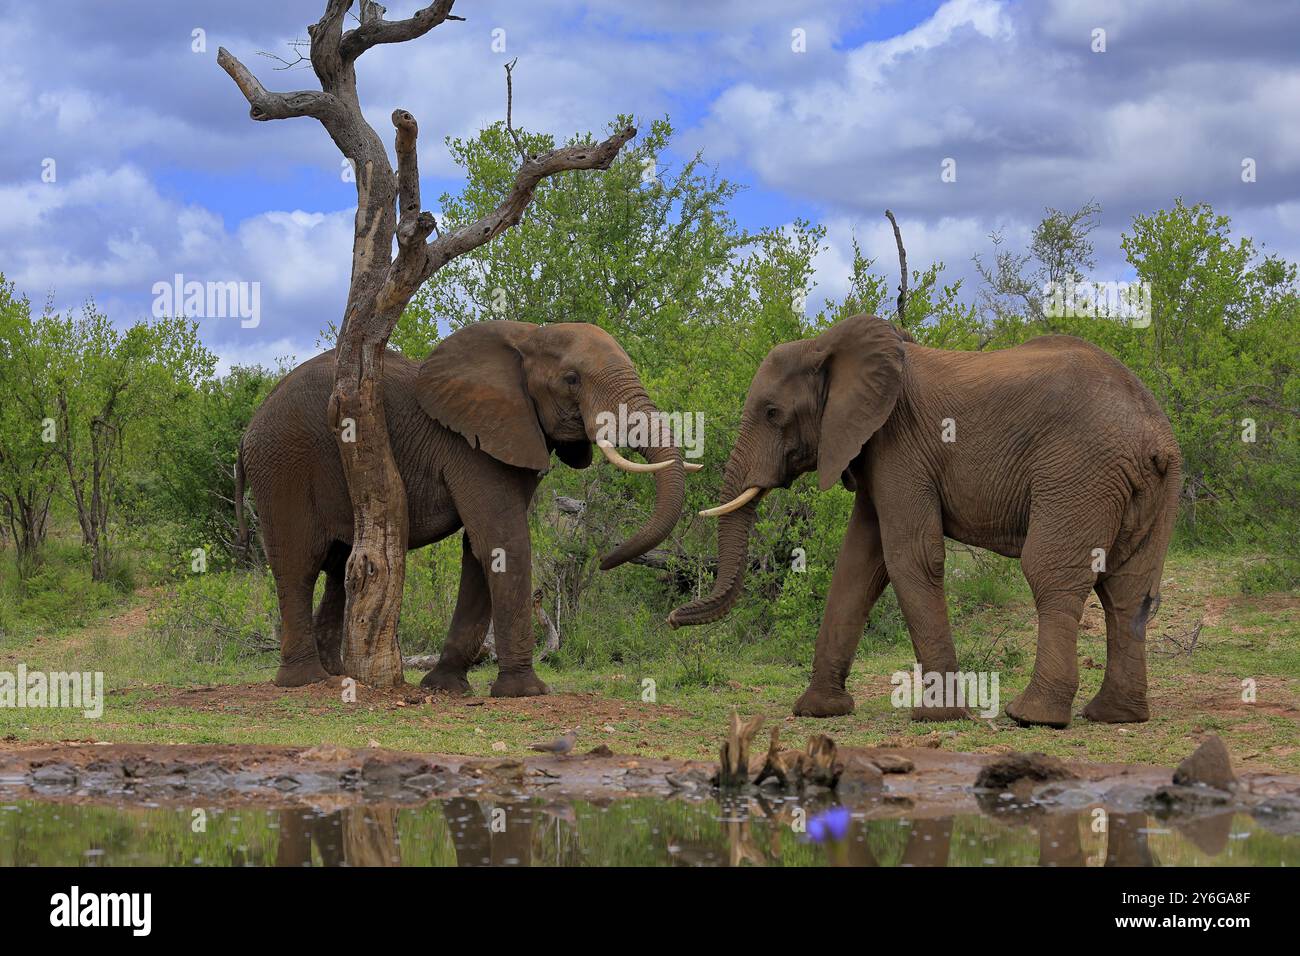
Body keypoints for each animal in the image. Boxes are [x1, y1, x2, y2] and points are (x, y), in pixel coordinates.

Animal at [237, 320, 692, 693]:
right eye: (572, 379)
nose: (603, 559)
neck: (527, 337)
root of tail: (247, 431)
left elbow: (480, 549)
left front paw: (445, 687)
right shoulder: (472, 445)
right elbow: (503, 540)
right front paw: (526, 691)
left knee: (337, 566)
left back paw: (337, 675)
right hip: (284, 464)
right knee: (298, 565)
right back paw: (306, 680)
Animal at [669, 314, 1181, 728]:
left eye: (773, 413)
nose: (675, 618)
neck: (830, 345)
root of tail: (1155, 435)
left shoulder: (900, 445)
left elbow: (909, 556)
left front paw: (938, 717)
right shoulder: (871, 450)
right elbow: (857, 566)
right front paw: (818, 710)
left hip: (1078, 473)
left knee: (1050, 572)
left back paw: (1032, 716)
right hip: (1148, 490)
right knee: (1128, 591)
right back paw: (1115, 716)